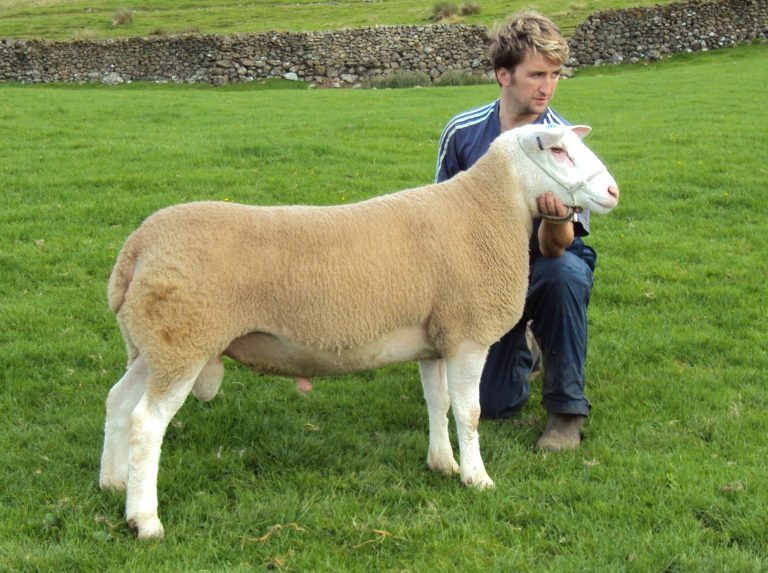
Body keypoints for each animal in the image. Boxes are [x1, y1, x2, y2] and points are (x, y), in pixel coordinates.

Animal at [99, 123, 619, 539]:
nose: (613, 192)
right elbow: (469, 413)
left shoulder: (436, 341)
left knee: (119, 401)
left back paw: (113, 482)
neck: (484, 211)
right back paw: (145, 520)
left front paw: (443, 464)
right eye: (558, 151)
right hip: (185, 339)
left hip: (153, 343)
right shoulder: (467, 335)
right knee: (148, 423)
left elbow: (439, 404)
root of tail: (139, 245)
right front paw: (477, 479)